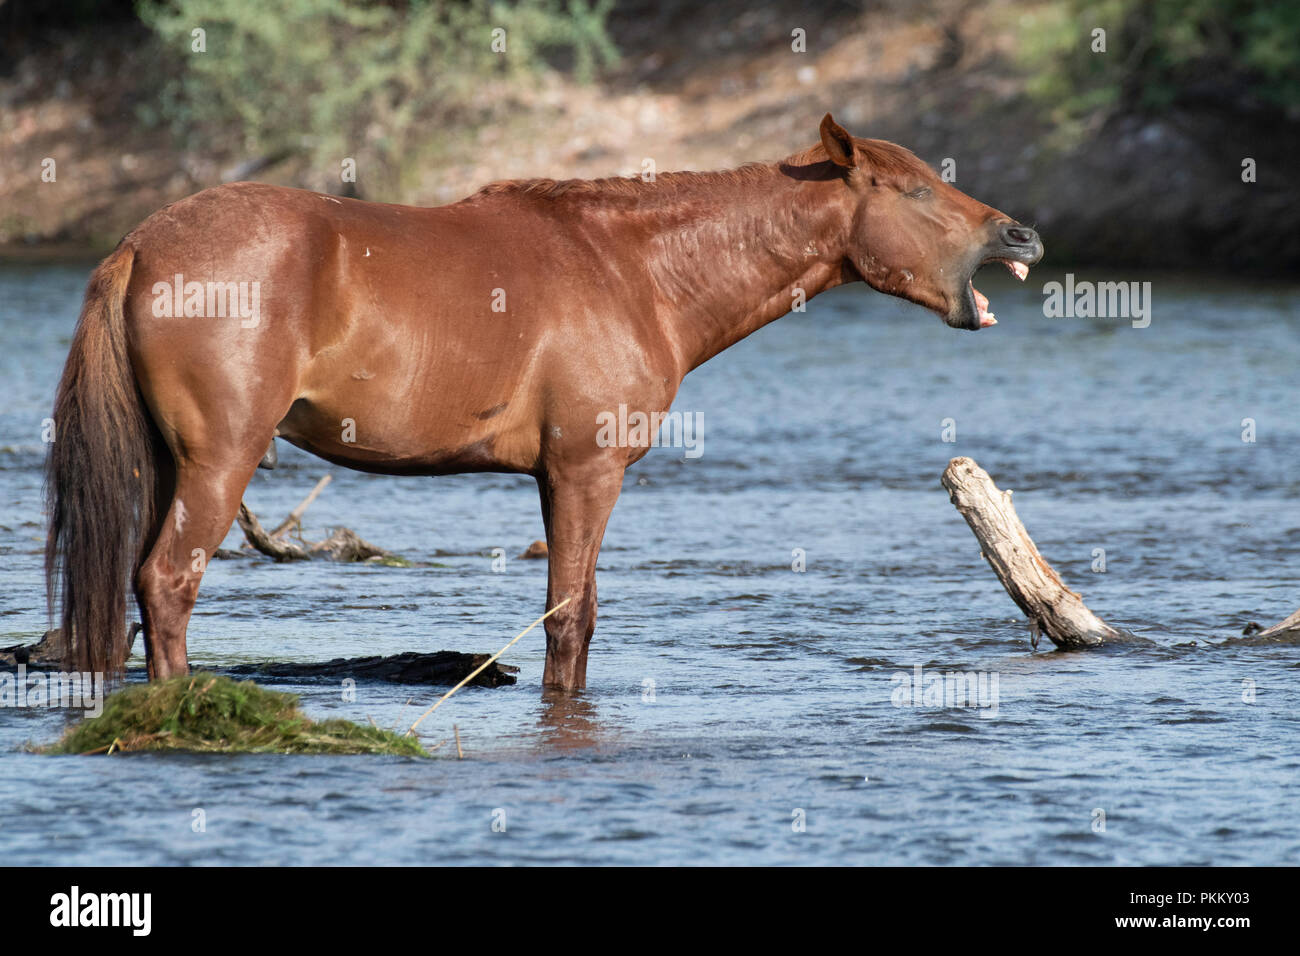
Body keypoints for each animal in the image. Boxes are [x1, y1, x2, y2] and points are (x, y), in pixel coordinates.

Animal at [45, 114, 1042, 693]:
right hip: (222, 459)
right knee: (168, 584)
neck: (633, 270)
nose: (1023, 233)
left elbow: (581, 614)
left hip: (169, 462)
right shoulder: (585, 470)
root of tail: (139, 244)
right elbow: (569, 619)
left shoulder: (558, 476)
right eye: (914, 190)